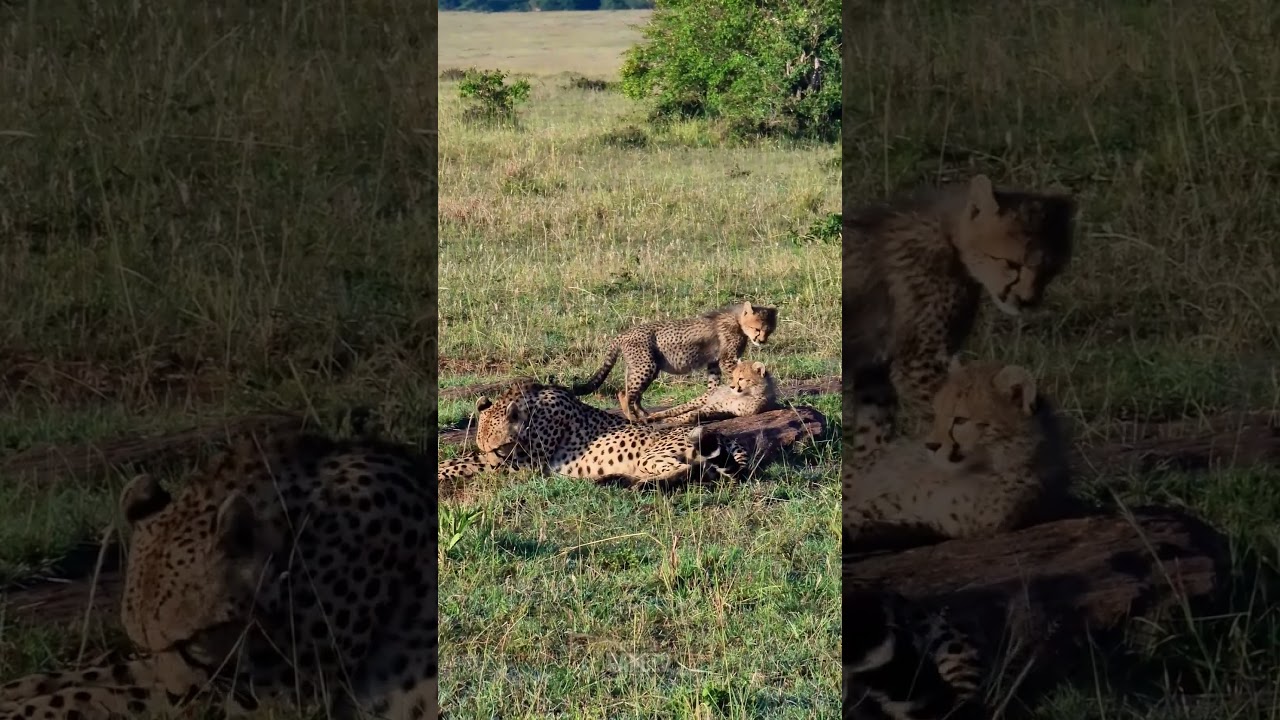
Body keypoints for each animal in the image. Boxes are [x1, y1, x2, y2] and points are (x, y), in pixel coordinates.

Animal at [0, 430, 438, 720]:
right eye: (143, 642)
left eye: (192, 641)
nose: (179, 696)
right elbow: (101, 674)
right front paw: (14, 693)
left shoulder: (274, 699)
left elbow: (103, 695)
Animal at [437, 377, 751, 490]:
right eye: (484, 445)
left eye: (498, 448)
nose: (494, 467)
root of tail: (727, 438)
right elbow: (466, 459)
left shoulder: (529, 466)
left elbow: (463, 462)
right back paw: (614, 479)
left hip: (655, 454)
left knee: (689, 471)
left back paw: (635, 484)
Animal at [641, 360, 780, 427]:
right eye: (733, 377)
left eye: (741, 378)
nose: (731, 386)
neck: (749, 394)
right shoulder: (718, 404)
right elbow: (686, 414)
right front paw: (671, 420)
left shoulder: (731, 411)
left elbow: (700, 413)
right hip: (697, 400)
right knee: (677, 409)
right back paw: (654, 416)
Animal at [843, 173, 1075, 441]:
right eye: (1011, 263)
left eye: (1050, 270)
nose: (1027, 301)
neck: (951, 237)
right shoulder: (917, 365)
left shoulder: (874, 374)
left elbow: (871, 436)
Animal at [844, 359, 1072, 555]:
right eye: (937, 415)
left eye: (960, 420)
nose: (930, 445)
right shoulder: (896, 499)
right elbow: (859, 511)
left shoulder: (938, 522)